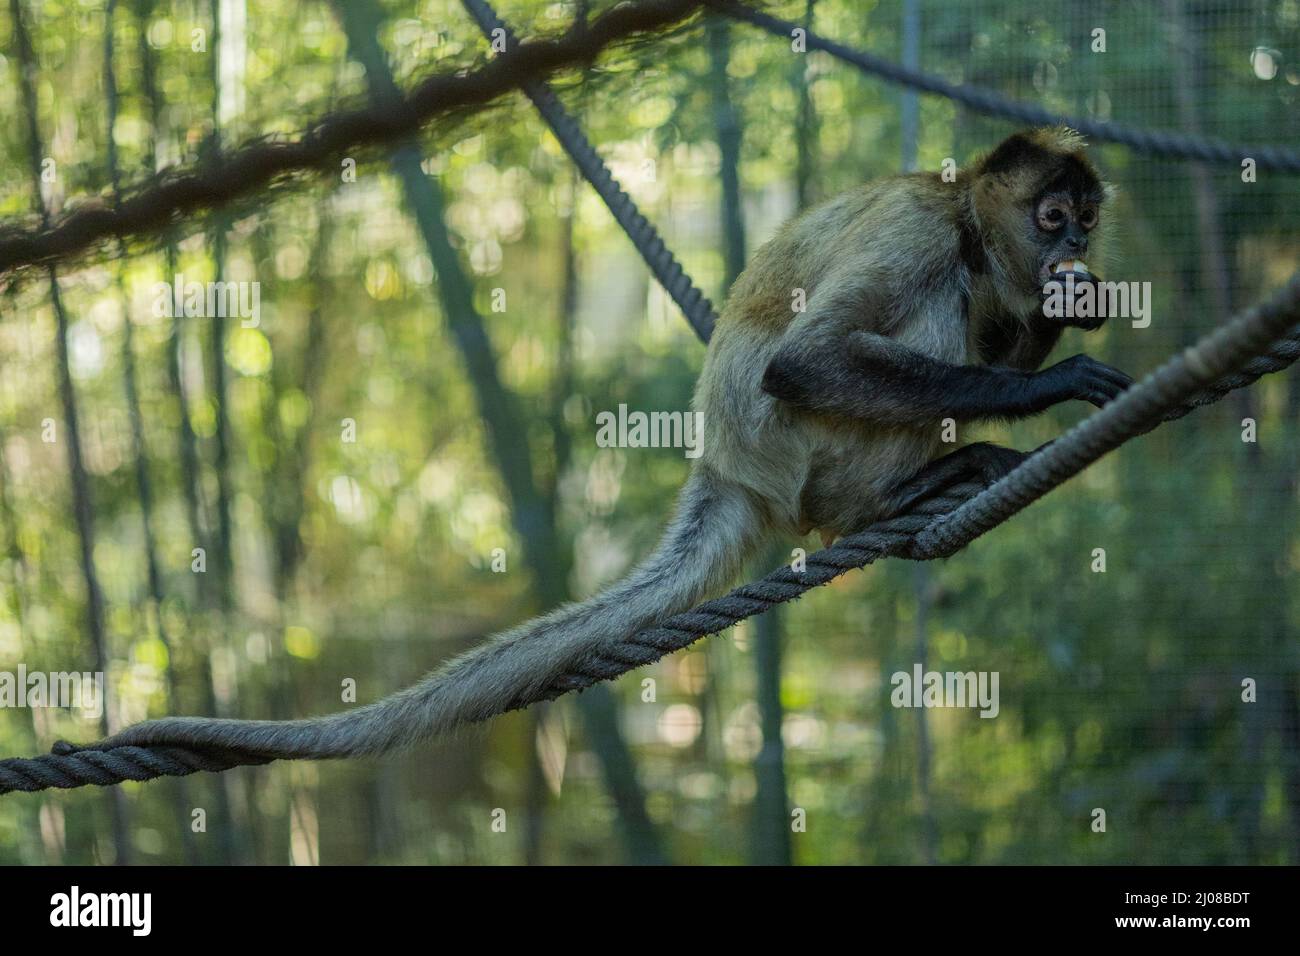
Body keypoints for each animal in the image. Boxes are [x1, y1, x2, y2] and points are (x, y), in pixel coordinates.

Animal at [65, 127, 1130, 763]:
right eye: (1051, 216)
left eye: (1085, 219)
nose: (1075, 248)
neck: (966, 222)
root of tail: (721, 458)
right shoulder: (922, 232)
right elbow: (808, 359)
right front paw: (1043, 386)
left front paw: (1066, 315)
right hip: (805, 443)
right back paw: (900, 497)